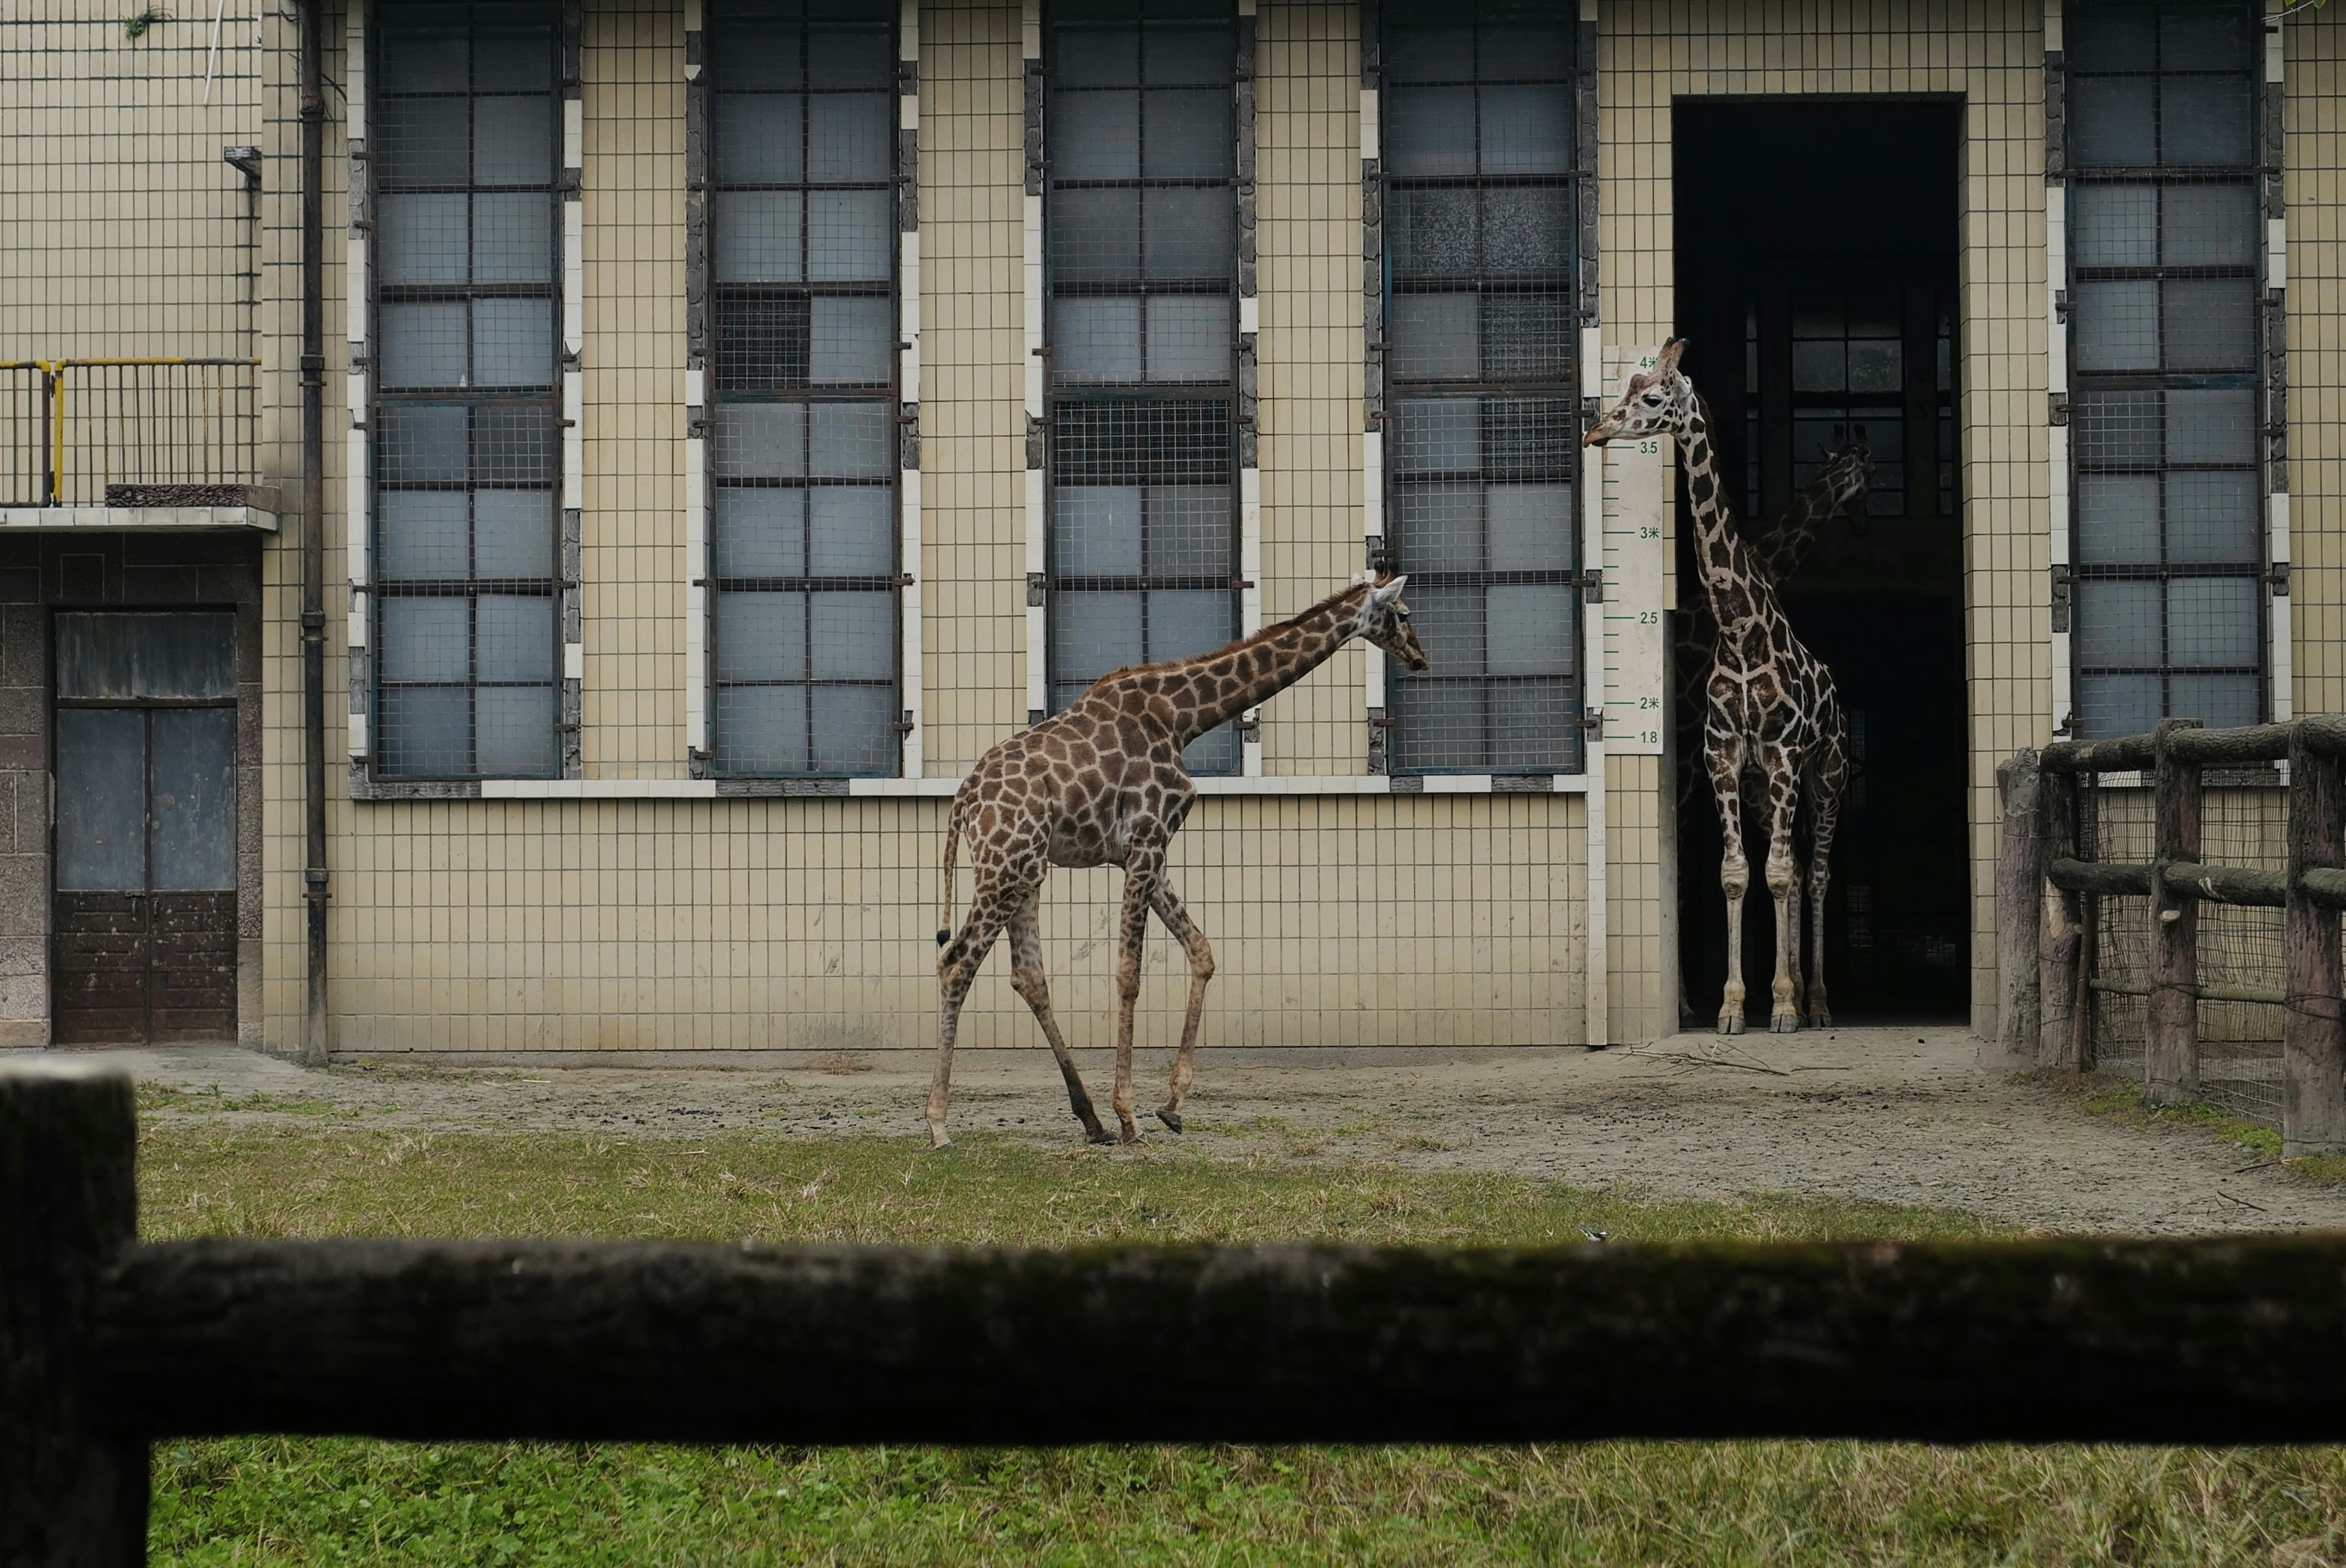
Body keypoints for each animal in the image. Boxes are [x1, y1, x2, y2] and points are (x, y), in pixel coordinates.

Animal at [927, 575, 1430, 1148]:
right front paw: (1130, 1115)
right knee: (956, 962)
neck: (1181, 716)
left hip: (1028, 869)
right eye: (1404, 613)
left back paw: (1090, 1119)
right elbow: (1129, 973)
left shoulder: (1151, 852)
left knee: (1027, 976)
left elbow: (1202, 952)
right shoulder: (1146, 840)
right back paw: (940, 1124)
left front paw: (1171, 1104)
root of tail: (965, 800)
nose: (1421, 657)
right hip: (1004, 867)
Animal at [1586, 339, 1849, 1035]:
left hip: (1827, 775)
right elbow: (1738, 874)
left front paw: (1781, 1006)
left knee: (1817, 873)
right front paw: (1735, 1007)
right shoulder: (1725, 759)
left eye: (1652, 397)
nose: (1596, 430)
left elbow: (1779, 873)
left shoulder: (1783, 757)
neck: (1739, 632)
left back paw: (1817, 1001)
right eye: (1625, 387)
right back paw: (1793, 993)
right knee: (1792, 868)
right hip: (1763, 788)